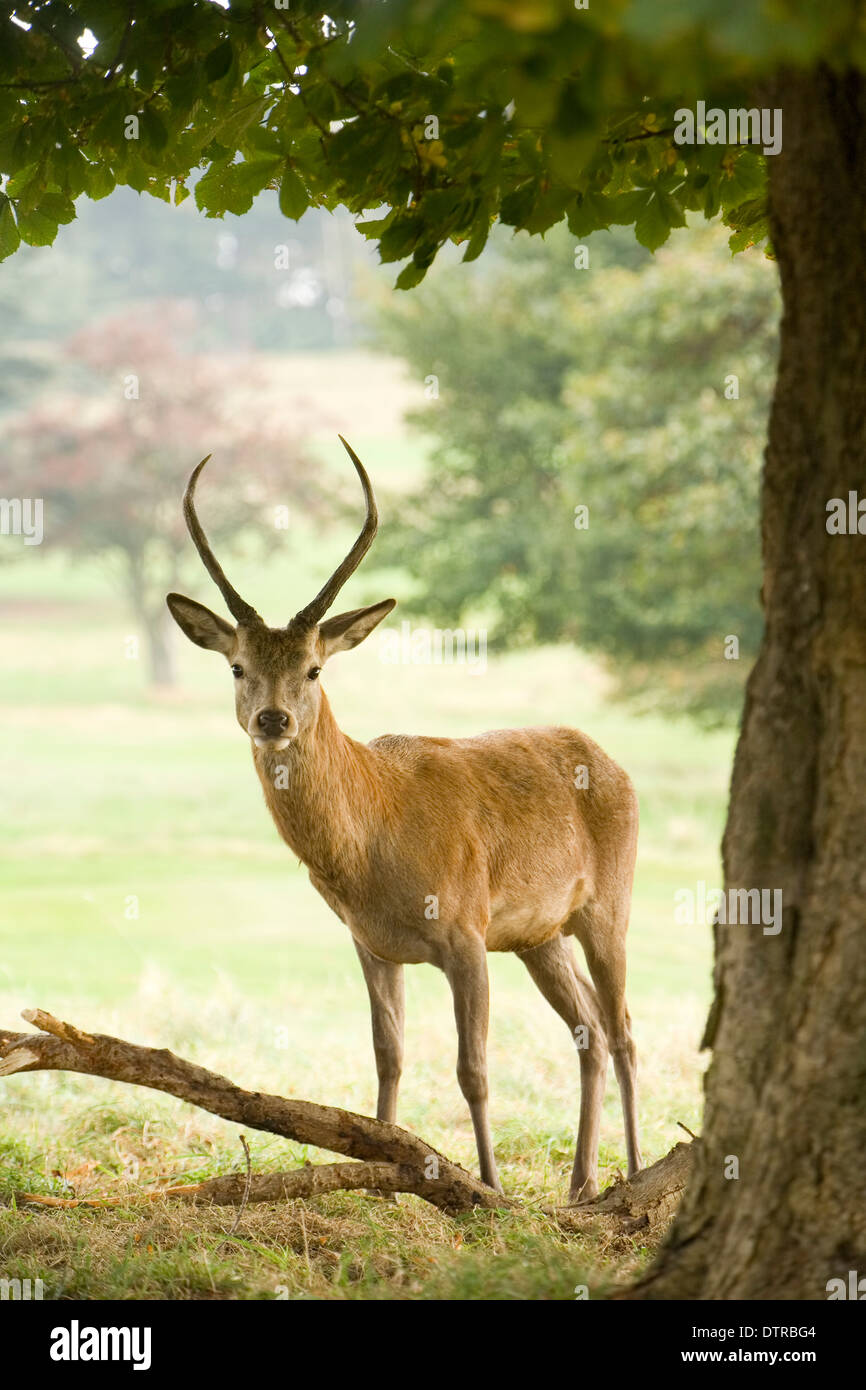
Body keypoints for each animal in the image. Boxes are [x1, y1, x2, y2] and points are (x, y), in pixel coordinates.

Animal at [166, 438, 642, 1201]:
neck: (370, 848)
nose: (273, 719)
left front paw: (488, 1189)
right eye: (237, 667)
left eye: (314, 669)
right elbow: (387, 1055)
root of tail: (612, 762)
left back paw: (633, 1169)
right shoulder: (370, 943)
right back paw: (579, 1184)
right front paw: (385, 1179)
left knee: (623, 1028)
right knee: (590, 1029)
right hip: (539, 933)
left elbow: (472, 1069)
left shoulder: (465, 927)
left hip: (608, 902)